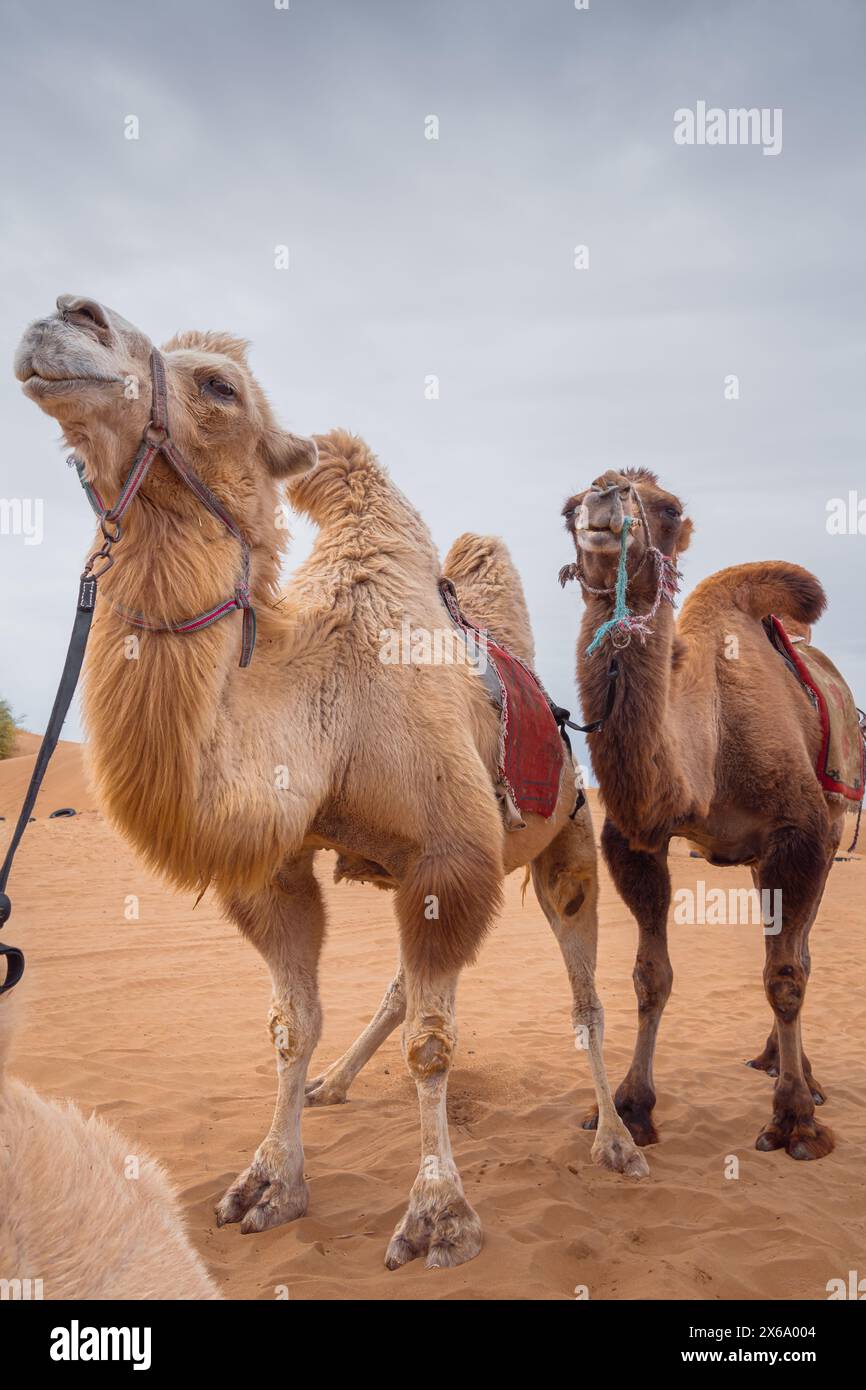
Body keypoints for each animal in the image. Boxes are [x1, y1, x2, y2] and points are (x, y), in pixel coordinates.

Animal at [14, 296, 646, 1273]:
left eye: (220, 387)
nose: (66, 316)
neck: (327, 701)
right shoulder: (276, 868)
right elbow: (291, 1025)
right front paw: (268, 1182)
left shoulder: (448, 860)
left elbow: (432, 1046)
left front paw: (439, 1217)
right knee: (396, 990)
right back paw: (335, 1085)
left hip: (568, 841)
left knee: (584, 1000)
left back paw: (614, 1139)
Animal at [559, 467, 855, 1162]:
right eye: (569, 504)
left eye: (668, 508)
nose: (602, 497)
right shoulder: (637, 839)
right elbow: (650, 975)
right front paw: (630, 1108)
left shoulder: (801, 835)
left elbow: (785, 975)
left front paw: (796, 1122)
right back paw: (774, 1060)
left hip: (832, 828)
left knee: (798, 955)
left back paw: (803, 1077)